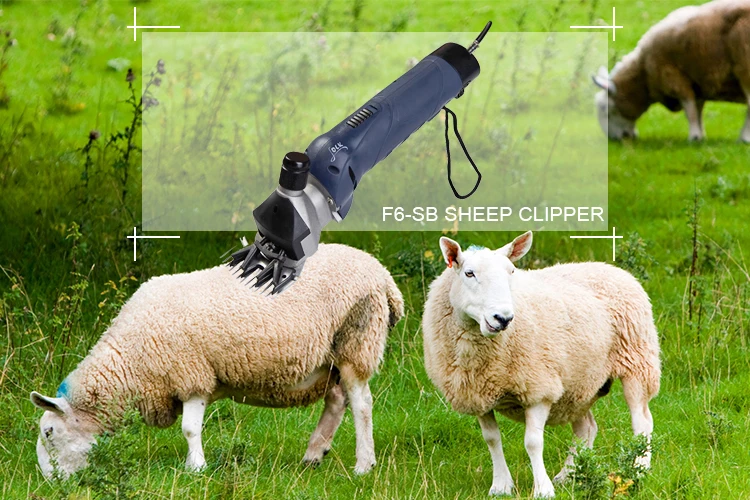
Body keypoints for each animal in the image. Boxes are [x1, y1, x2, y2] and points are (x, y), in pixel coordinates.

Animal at [30, 243, 404, 479]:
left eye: (49, 432)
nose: (50, 481)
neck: (129, 363)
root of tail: (384, 276)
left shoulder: (191, 374)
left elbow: (189, 428)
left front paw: (195, 468)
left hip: (357, 340)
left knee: (362, 404)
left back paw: (364, 465)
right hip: (332, 358)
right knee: (337, 400)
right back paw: (314, 454)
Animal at [422, 232, 661, 498]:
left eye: (511, 271)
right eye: (469, 273)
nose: (503, 318)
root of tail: (609, 267)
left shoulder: (538, 388)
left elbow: (533, 442)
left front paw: (543, 489)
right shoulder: (477, 394)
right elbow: (492, 439)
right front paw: (501, 485)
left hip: (637, 361)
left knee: (642, 421)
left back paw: (639, 469)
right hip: (580, 383)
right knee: (586, 428)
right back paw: (569, 475)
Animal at [593, 0, 750, 142]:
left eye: (605, 109)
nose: (613, 139)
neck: (643, 73)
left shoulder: (674, 78)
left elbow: (690, 111)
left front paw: (694, 137)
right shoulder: (697, 81)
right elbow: (698, 110)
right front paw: (701, 136)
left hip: (745, 66)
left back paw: (744, 138)